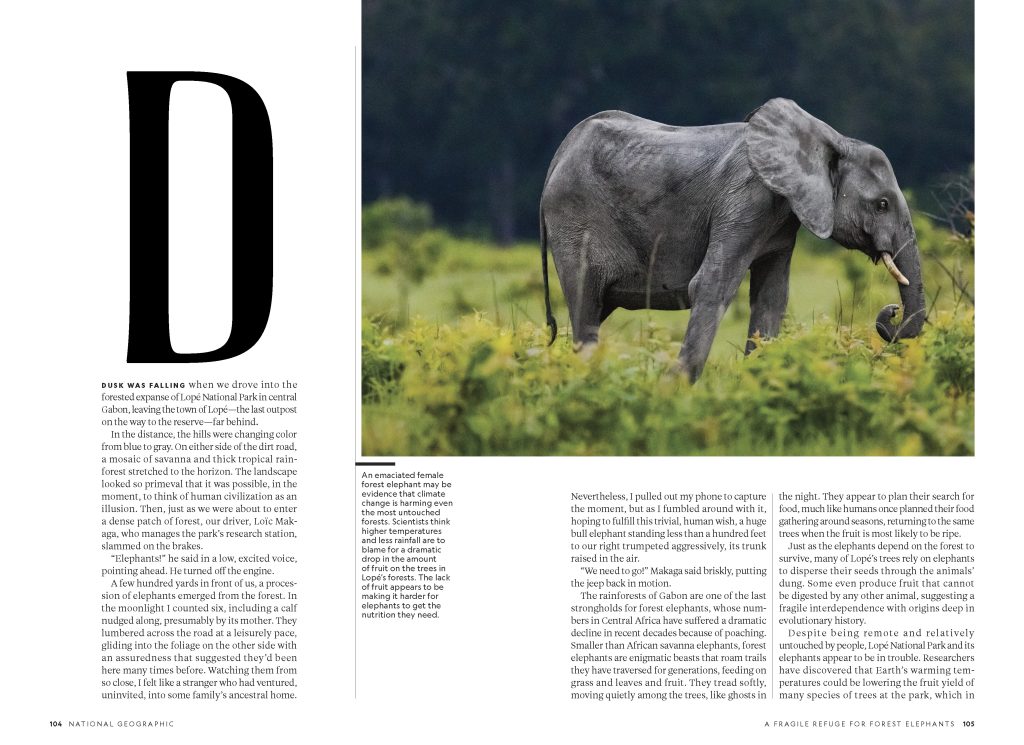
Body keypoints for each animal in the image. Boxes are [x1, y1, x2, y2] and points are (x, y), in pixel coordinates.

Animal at [539, 98, 925, 381]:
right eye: (882, 204)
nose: (892, 310)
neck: (831, 139)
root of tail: (559, 152)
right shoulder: (745, 200)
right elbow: (712, 286)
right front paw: (673, 391)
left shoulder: (781, 222)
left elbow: (772, 299)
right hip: (573, 219)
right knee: (586, 305)